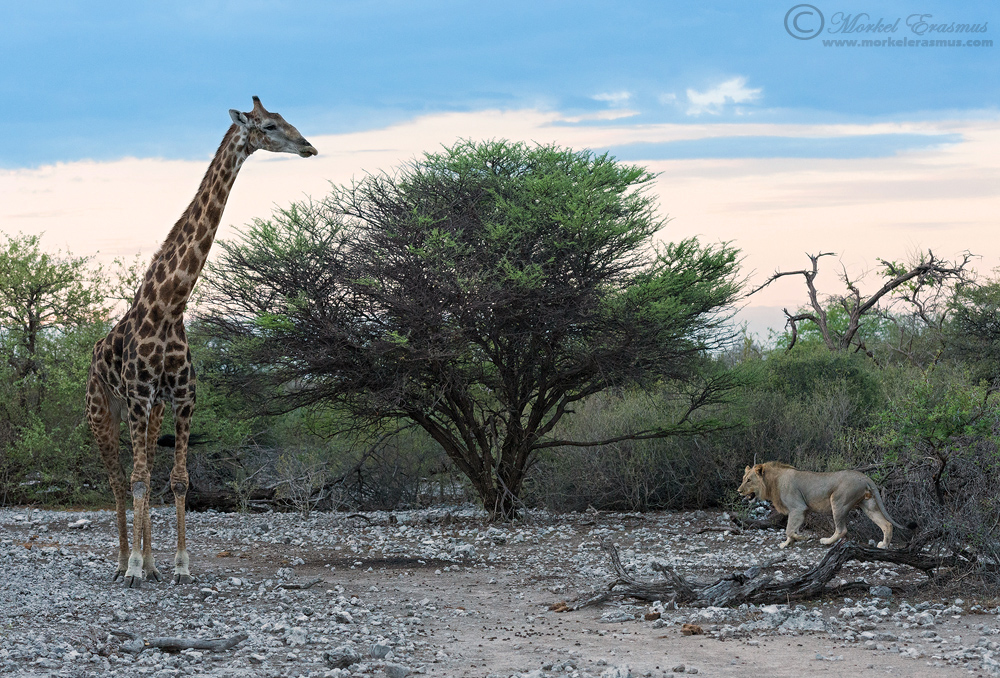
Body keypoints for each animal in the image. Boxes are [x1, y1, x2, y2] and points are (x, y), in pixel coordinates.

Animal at [86, 97, 317, 588]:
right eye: (270, 125)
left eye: (286, 118)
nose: (309, 146)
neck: (170, 306)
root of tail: (93, 354)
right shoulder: (137, 396)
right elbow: (136, 479)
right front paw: (134, 569)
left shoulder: (181, 398)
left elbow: (177, 480)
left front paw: (178, 565)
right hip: (103, 410)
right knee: (117, 479)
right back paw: (122, 562)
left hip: (149, 412)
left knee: (143, 472)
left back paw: (150, 563)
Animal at [738, 461, 907, 549]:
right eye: (743, 478)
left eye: (749, 480)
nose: (738, 491)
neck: (773, 482)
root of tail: (864, 476)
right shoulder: (802, 511)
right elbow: (792, 529)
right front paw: (787, 543)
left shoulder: (798, 508)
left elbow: (789, 529)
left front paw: (803, 537)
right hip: (868, 505)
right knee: (886, 524)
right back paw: (884, 545)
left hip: (838, 501)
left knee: (842, 529)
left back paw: (826, 541)